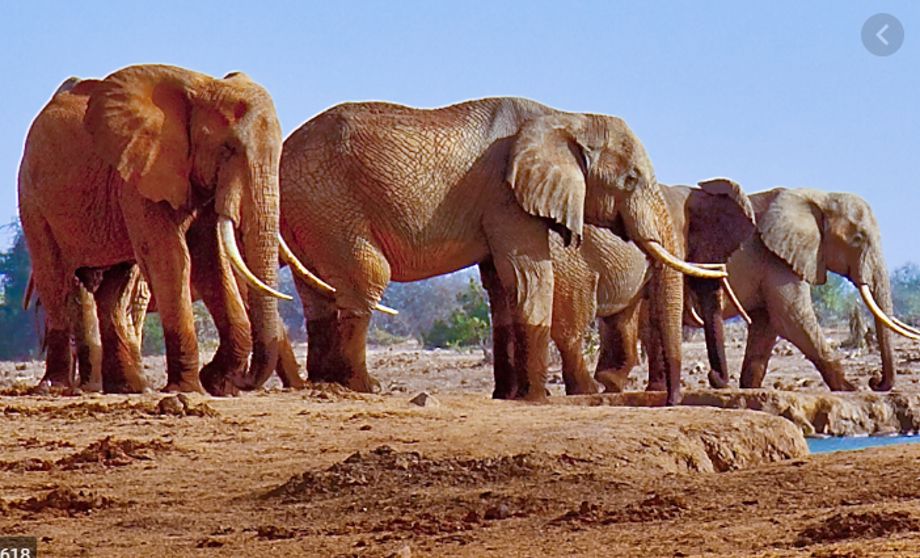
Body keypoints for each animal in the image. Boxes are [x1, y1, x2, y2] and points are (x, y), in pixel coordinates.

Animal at [17, 65, 311, 395]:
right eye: (228, 149)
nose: (244, 381)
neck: (204, 89)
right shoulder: (139, 174)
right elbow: (171, 258)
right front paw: (190, 388)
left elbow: (210, 262)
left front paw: (215, 383)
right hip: (32, 199)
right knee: (55, 279)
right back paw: (55, 387)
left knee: (115, 286)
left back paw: (128, 387)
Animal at [279, 97, 726, 405]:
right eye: (631, 179)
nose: (671, 401)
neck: (564, 117)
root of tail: (284, 152)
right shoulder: (507, 198)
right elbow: (529, 276)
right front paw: (538, 399)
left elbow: (501, 287)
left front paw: (509, 396)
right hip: (330, 205)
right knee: (367, 277)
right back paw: (364, 387)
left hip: (310, 214)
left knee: (316, 294)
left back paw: (325, 384)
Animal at [480, 178, 756, 396]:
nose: (715, 378)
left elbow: (629, 315)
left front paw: (612, 382)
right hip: (567, 260)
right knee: (572, 321)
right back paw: (585, 390)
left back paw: (509, 394)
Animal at [708, 188, 919, 391]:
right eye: (858, 238)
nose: (874, 382)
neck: (820, 197)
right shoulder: (778, 260)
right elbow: (791, 319)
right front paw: (851, 389)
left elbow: (766, 324)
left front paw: (749, 388)